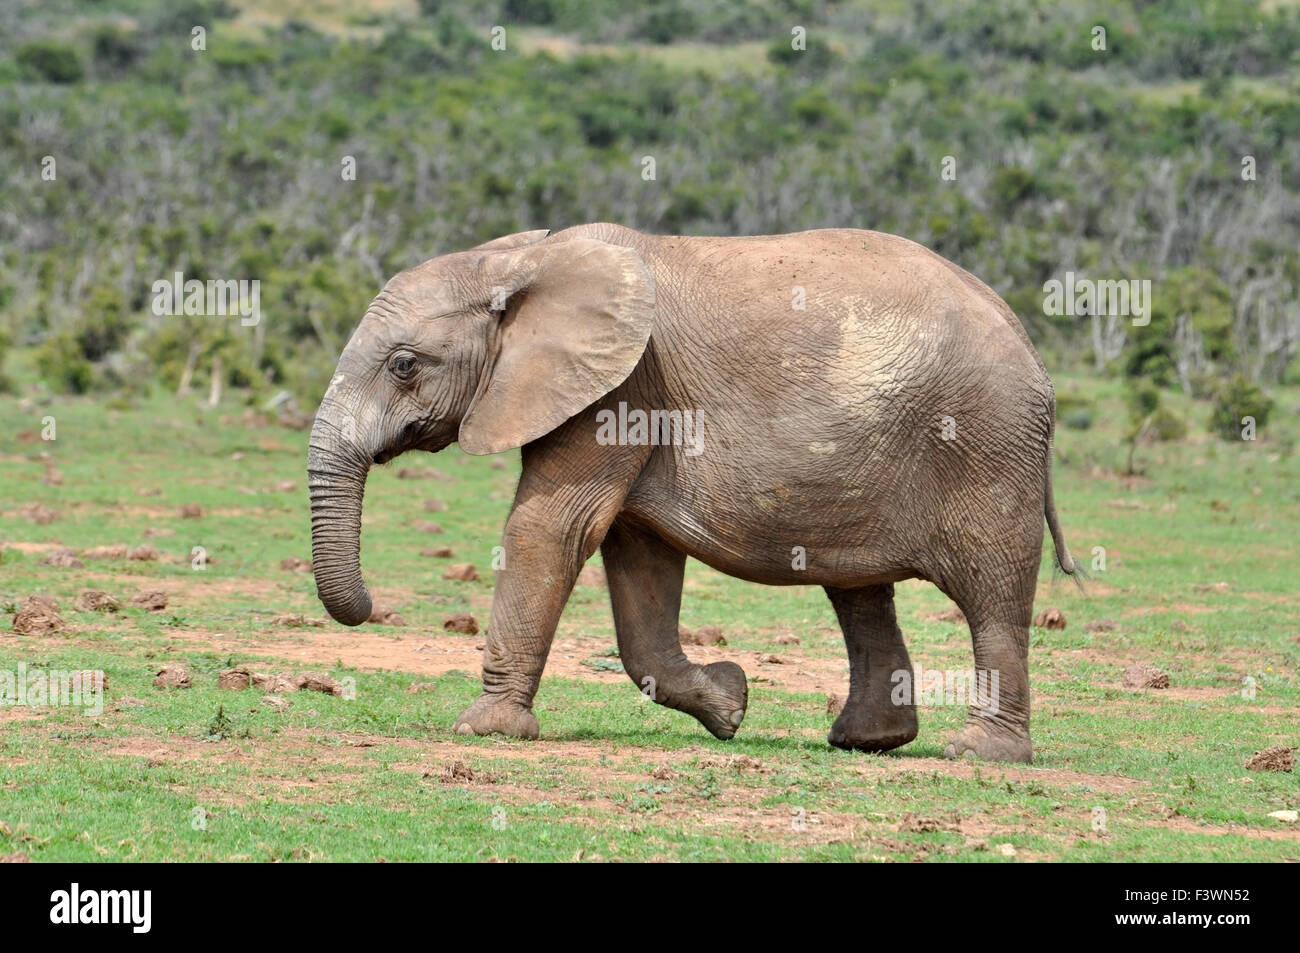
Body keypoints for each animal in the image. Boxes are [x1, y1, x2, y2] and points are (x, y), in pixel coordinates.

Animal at [307, 223, 1077, 764]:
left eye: (405, 365)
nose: (371, 606)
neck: (522, 260)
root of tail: (1029, 344)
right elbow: (635, 556)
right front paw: (730, 706)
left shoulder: (621, 387)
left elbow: (552, 528)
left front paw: (485, 730)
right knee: (859, 589)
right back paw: (867, 742)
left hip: (985, 443)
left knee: (991, 594)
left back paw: (978, 753)